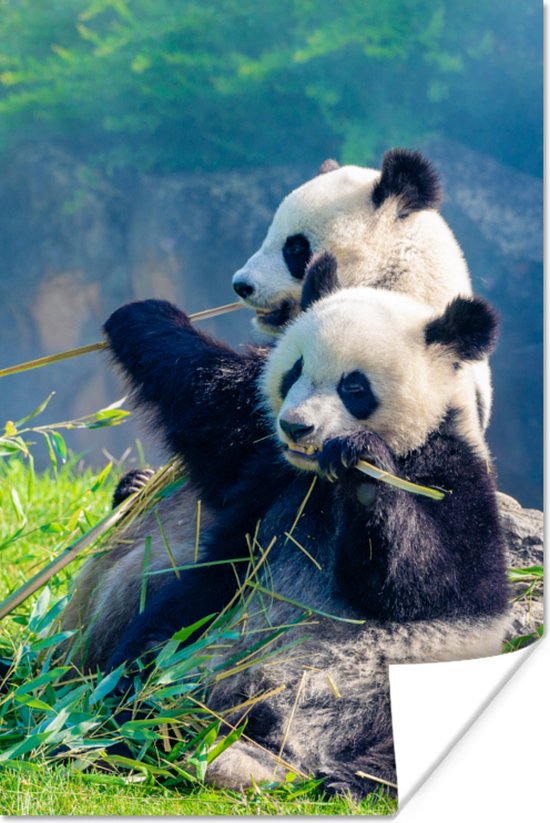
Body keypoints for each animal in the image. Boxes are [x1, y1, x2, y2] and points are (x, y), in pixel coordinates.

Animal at [94, 255, 509, 796]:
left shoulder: (452, 472)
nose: (296, 426)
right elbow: (215, 420)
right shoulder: (270, 476)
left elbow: (430, 582)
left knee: (390, 746)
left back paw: (340, 777)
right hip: (203, 639)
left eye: (354, 386)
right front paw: (143, 316)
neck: (319, 480)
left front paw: (362, 467)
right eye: (294, 370)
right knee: (155, 652)